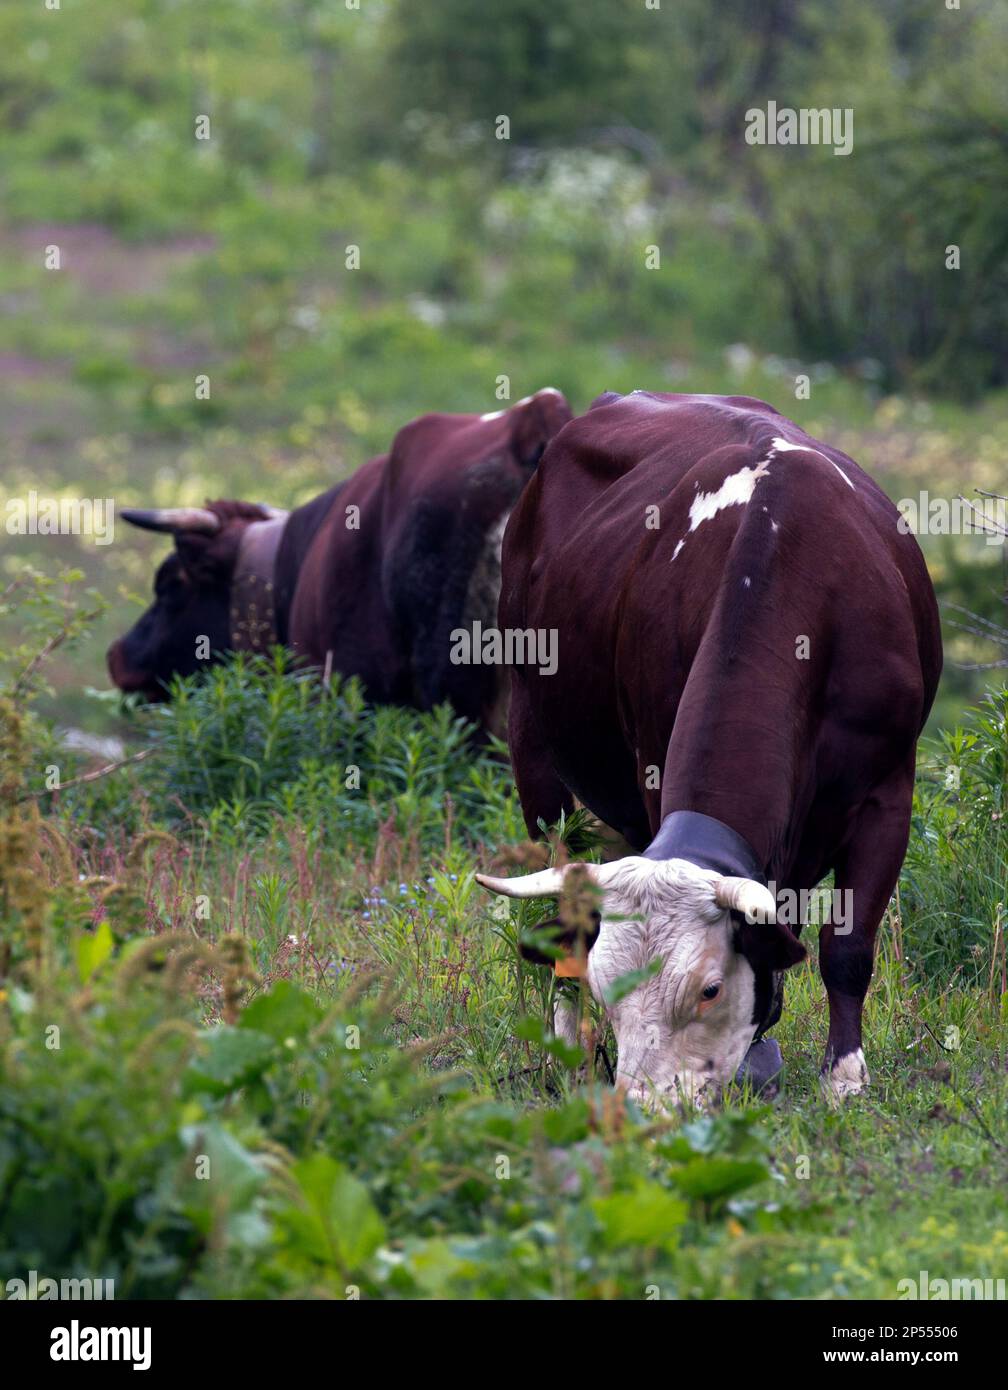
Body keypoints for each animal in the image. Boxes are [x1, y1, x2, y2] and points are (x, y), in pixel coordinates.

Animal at [477, 390, 942, 1105]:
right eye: (610, 990)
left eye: (709, 990)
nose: (640, 1107)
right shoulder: (650, 765)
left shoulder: (888, 792)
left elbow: (846, 947)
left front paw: (843, 1079)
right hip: (536, 752)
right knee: (564, 923)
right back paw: (568, 1054)